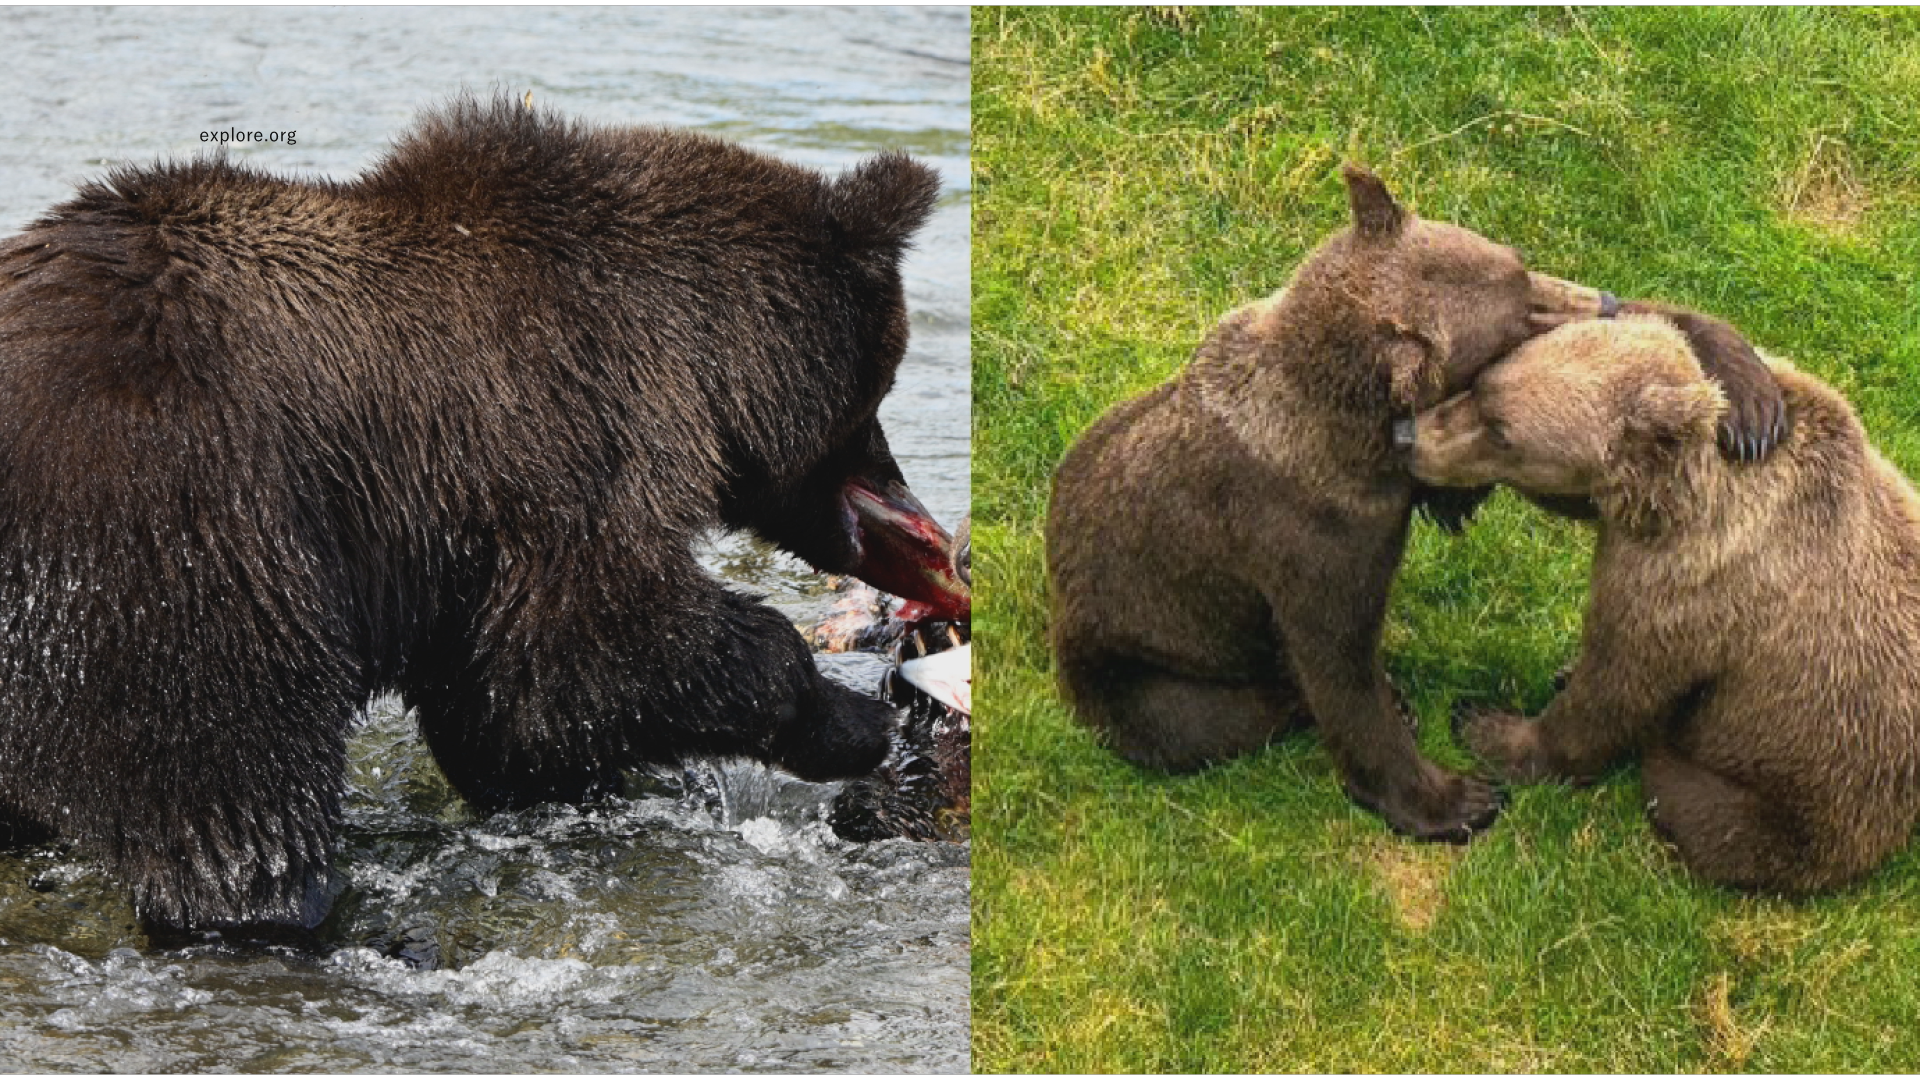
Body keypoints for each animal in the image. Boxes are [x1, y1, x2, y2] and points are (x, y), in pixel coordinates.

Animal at [0, 94, 969, 934]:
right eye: (879, 390)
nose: (925, 523)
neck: (690, 356)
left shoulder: (469, 541)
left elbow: (507, 714)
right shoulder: (556, 444)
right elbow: (583, 654)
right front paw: (850, 719)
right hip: (175, 541)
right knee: (230, 780)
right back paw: (290, 913)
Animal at [1045, 164, 1786, 844]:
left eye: (1518, 263)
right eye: (1512, 317)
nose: (1601, 299)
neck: (1355, 442)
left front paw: (1743, 388)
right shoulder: (1307, 543)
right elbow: (1336, 666)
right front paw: (1456, 799)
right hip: (1141, 662)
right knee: (1205, 717)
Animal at [1417, 313, 1920, 894]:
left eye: (1502, 430)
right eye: (1482, 384)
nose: (1411, 438)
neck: (1676, 501)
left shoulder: (1692, 589)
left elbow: (1615, 691)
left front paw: (1485, 724)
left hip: (1812, 793)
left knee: (1712, 816)